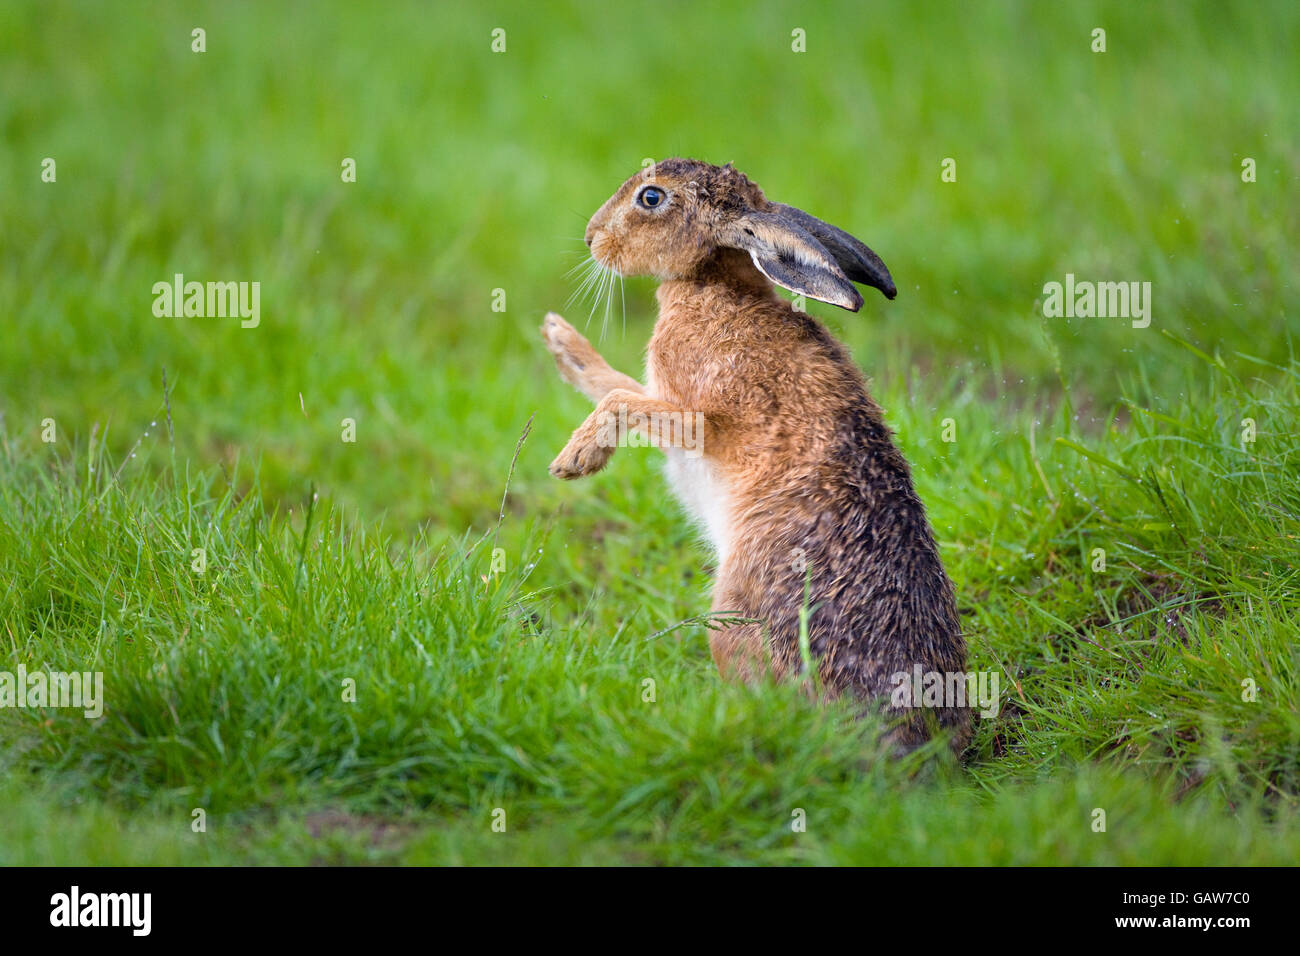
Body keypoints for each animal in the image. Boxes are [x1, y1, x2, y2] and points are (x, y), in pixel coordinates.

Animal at [541, 158, 970, 755]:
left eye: (651, 198)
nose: (591, 238)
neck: (714, 284)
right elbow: (616, 384)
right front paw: (561, 343)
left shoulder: (702, 417)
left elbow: (622, 401)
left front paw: (575, 458)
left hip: (736, 613)